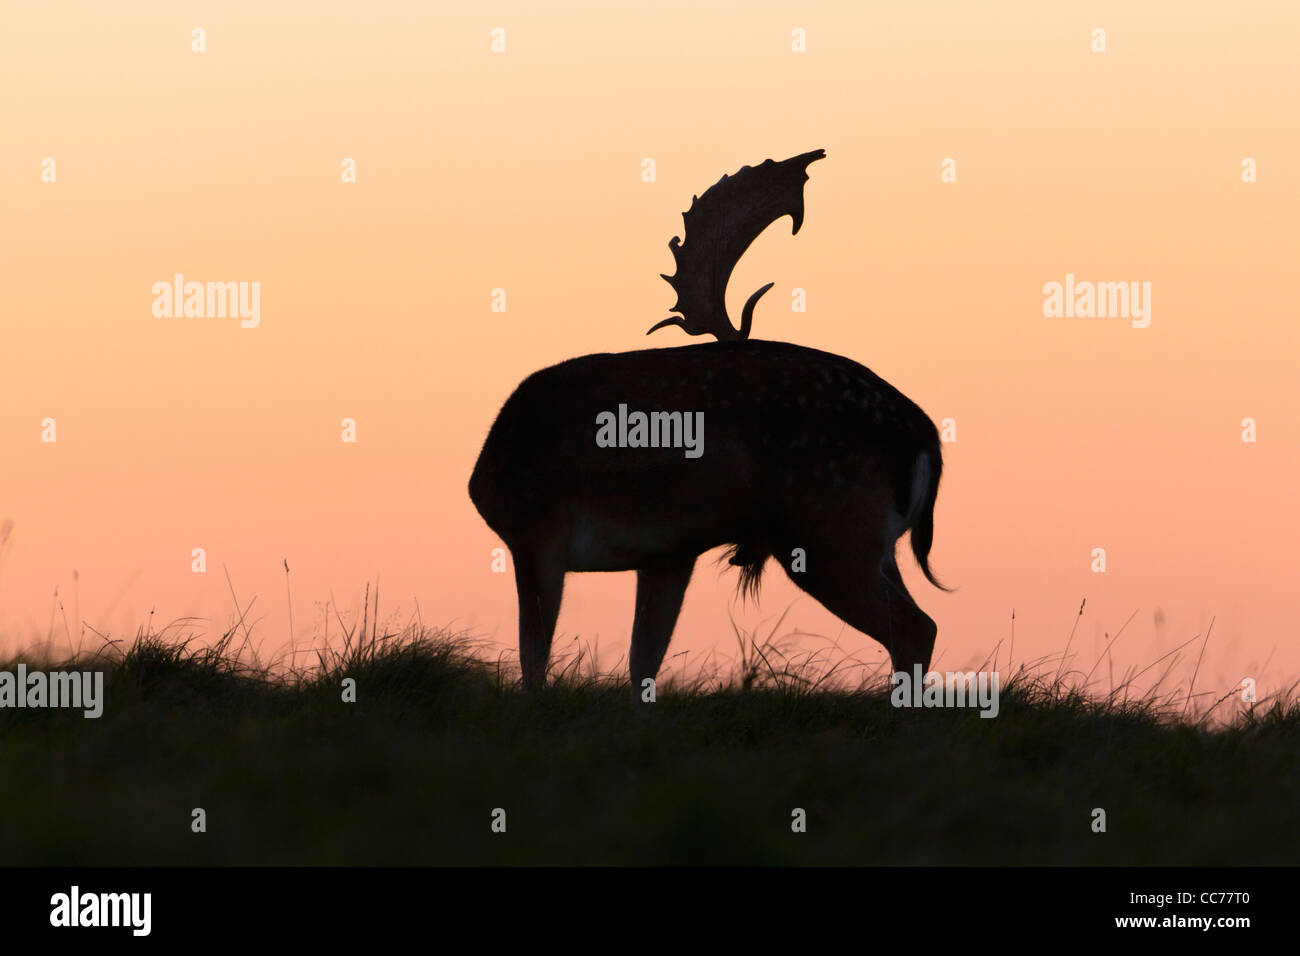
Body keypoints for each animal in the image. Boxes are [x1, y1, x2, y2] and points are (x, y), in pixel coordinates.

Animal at [469, 149, 948, 691]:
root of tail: (923, 434)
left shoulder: (536, 530)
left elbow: (534, 662)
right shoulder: (667, 555)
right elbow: (643, 661)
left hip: (828, 526)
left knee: (915, 627)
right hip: (877, 543)